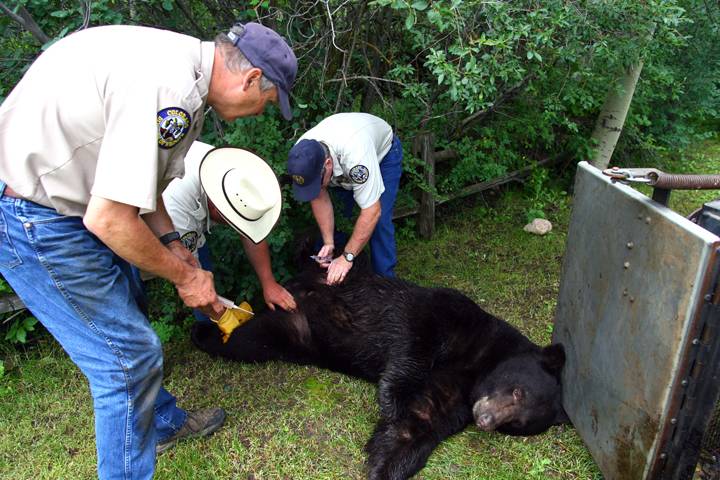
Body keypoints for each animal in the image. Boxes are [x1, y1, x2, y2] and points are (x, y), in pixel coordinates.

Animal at [191, 241, 569, 480]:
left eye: (517, 424)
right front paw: (392, 397)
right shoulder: (452, 314)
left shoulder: (457, 394)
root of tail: (296, 289)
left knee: (252, 341)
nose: (486, 420)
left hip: (290, 332)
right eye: (518, 390)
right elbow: (416, 337)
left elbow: (418, 422)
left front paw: (384, 465)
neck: (479, 364)